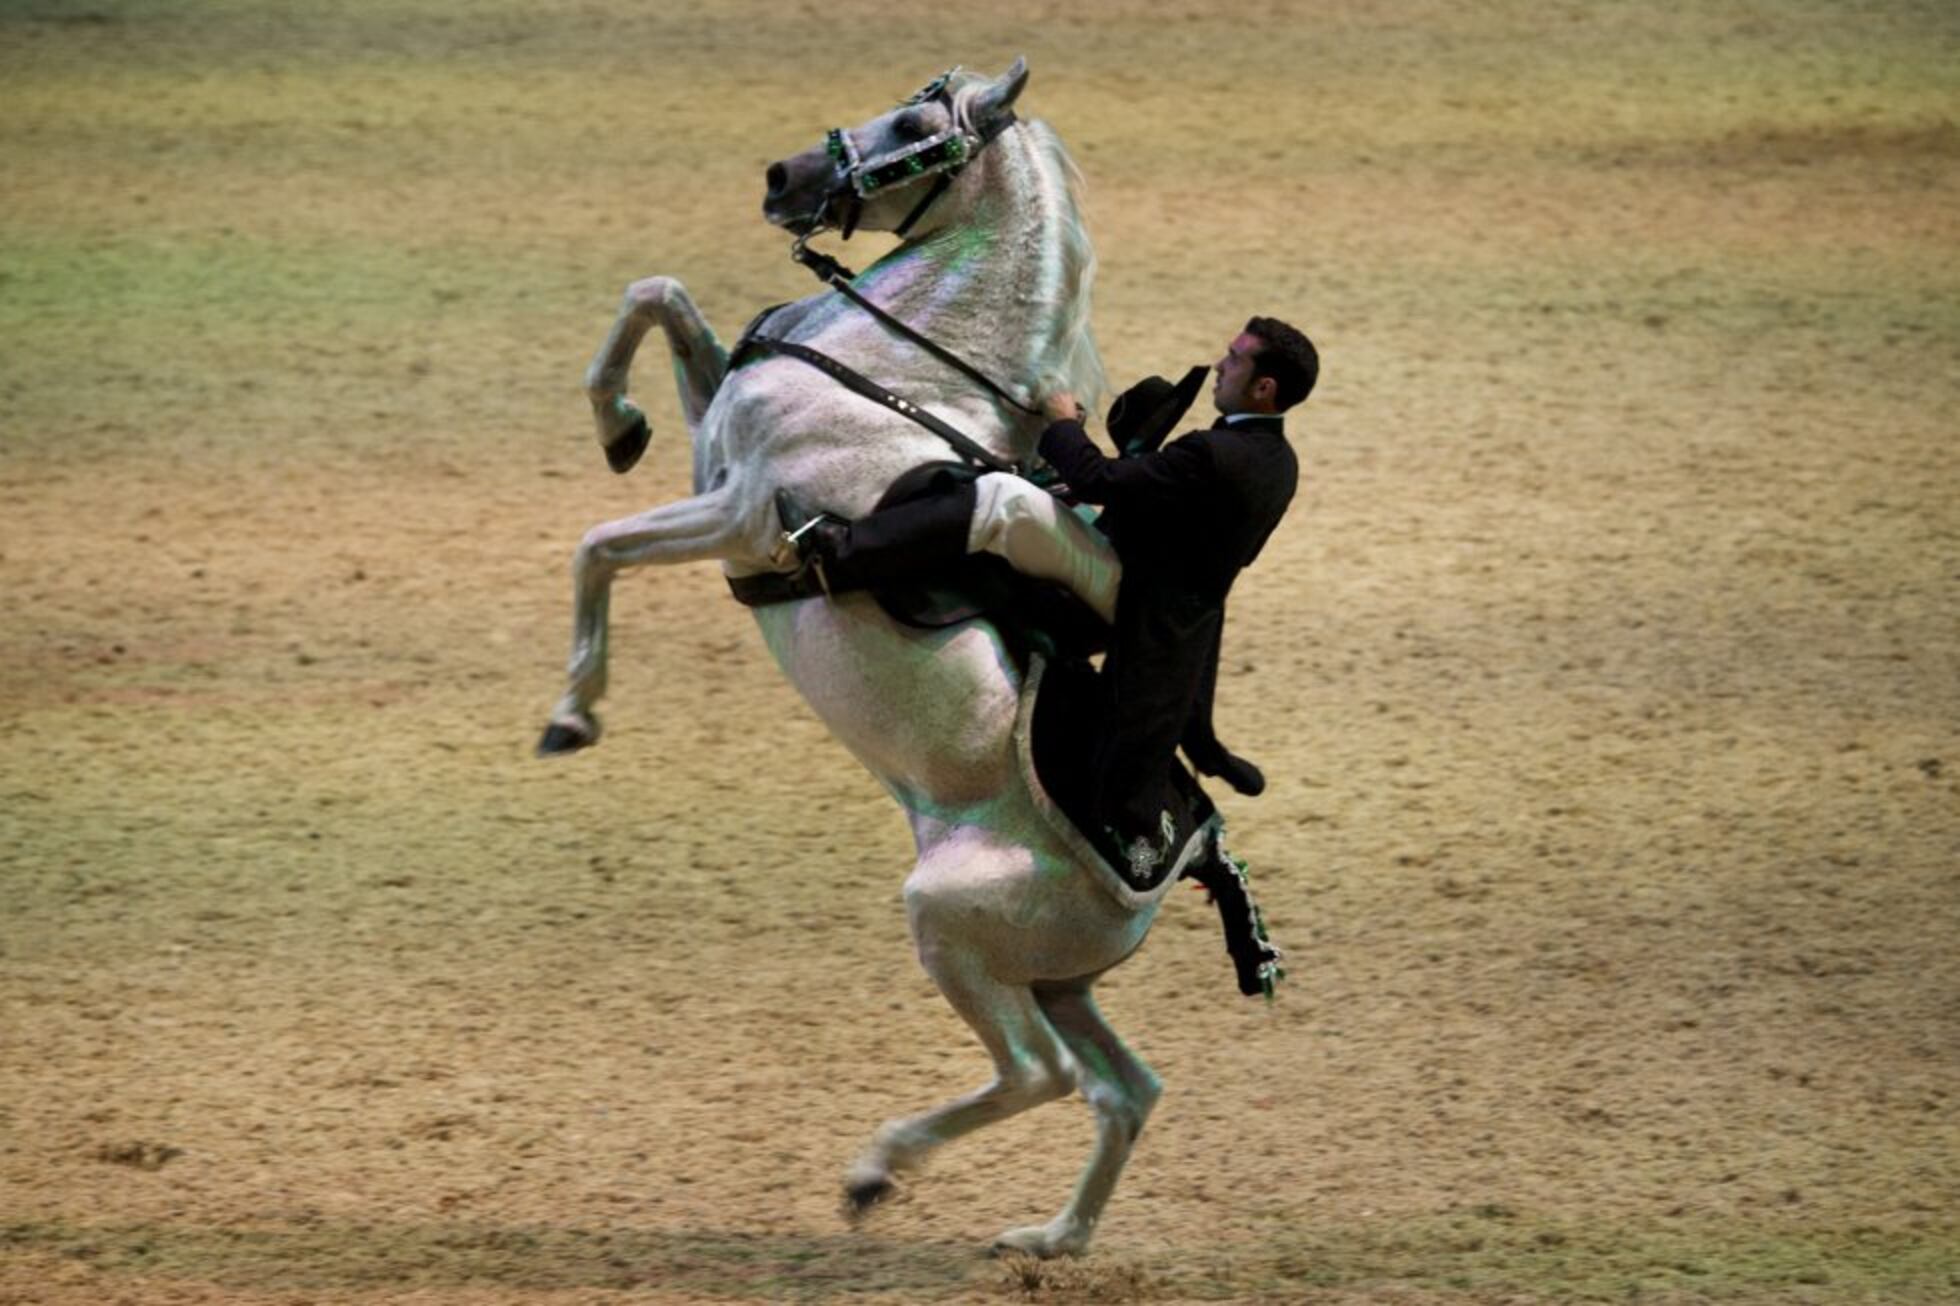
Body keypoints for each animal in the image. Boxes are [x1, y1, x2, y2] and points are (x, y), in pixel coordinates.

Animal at [538, 60, 1202, 1258]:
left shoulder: (743, 517)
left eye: (911, 123)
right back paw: (1046, 1242)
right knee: (1122, 1090)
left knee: (1037, 1076)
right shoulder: (714, 441)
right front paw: (616, 424)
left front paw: (572, 715)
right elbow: (656, 294)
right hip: (1055, 980)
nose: (780, 175)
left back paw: (874, 1171)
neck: (888, 371)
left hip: (949, 930)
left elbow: (597, 546)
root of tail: (1149, 888)